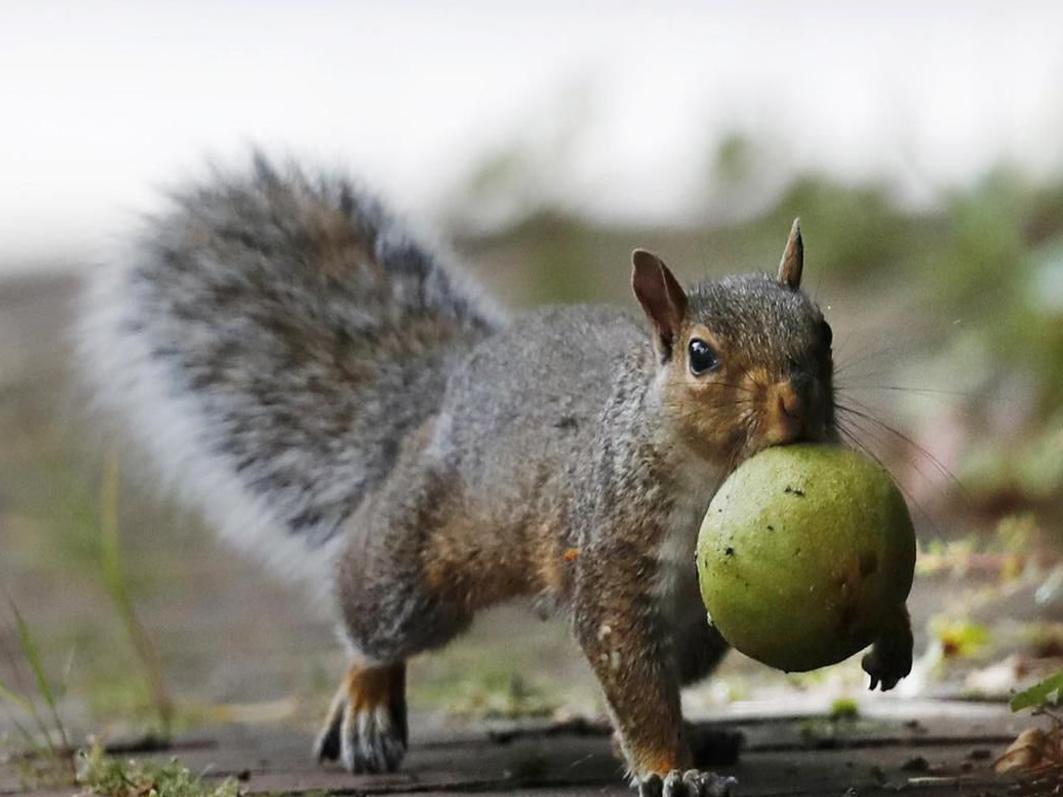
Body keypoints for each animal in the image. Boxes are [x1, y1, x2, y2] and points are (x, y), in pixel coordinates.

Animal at [80, 155, 913, 797]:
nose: (797, 399)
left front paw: (891, 638)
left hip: (697, 634)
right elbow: (627, 671)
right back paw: (367, 700)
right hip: (414, 562)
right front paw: (669, 769)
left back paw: (704, 733)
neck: (712, 473)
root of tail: (445, 394)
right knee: (370, 613)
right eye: (699, 355)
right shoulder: (613, 544)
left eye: (822, 330)